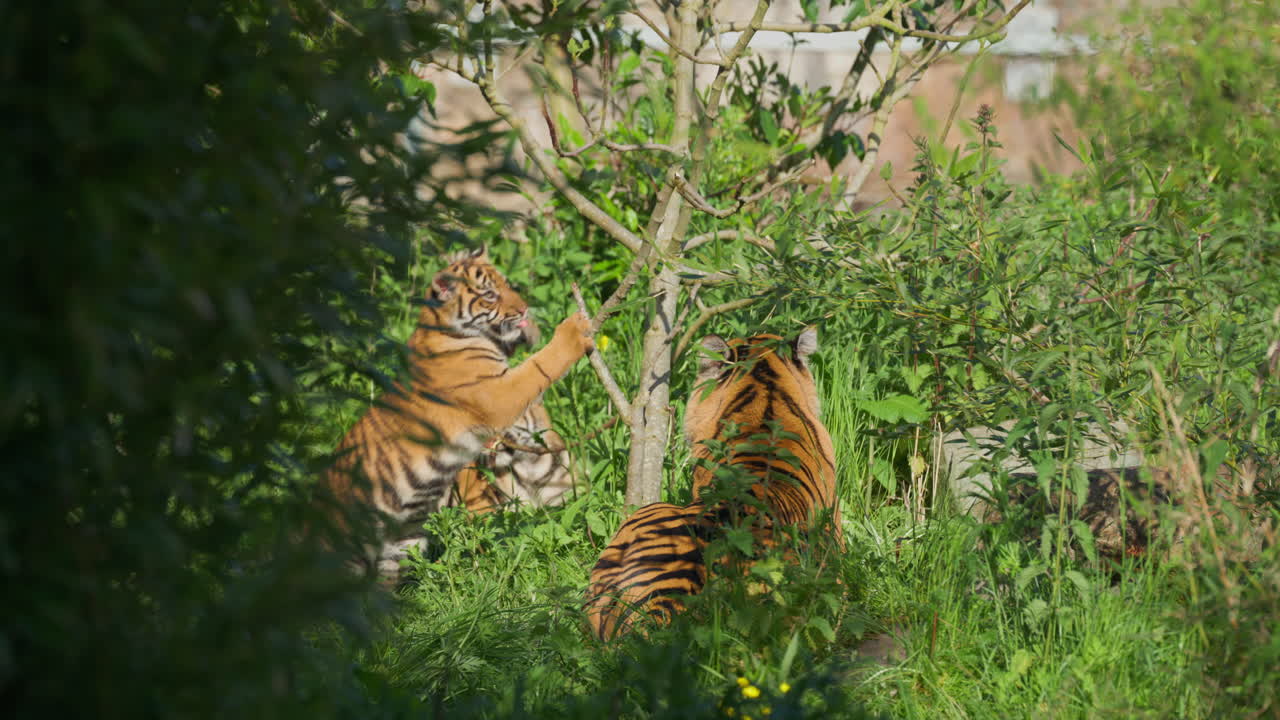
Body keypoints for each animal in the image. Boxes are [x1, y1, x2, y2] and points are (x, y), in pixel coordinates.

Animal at [321, 246, 594, 582]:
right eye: (489, 294)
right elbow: (540, 364)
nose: (524, 310)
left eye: (507, 285)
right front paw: (574, 327)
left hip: (400, 543)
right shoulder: (499, 393)